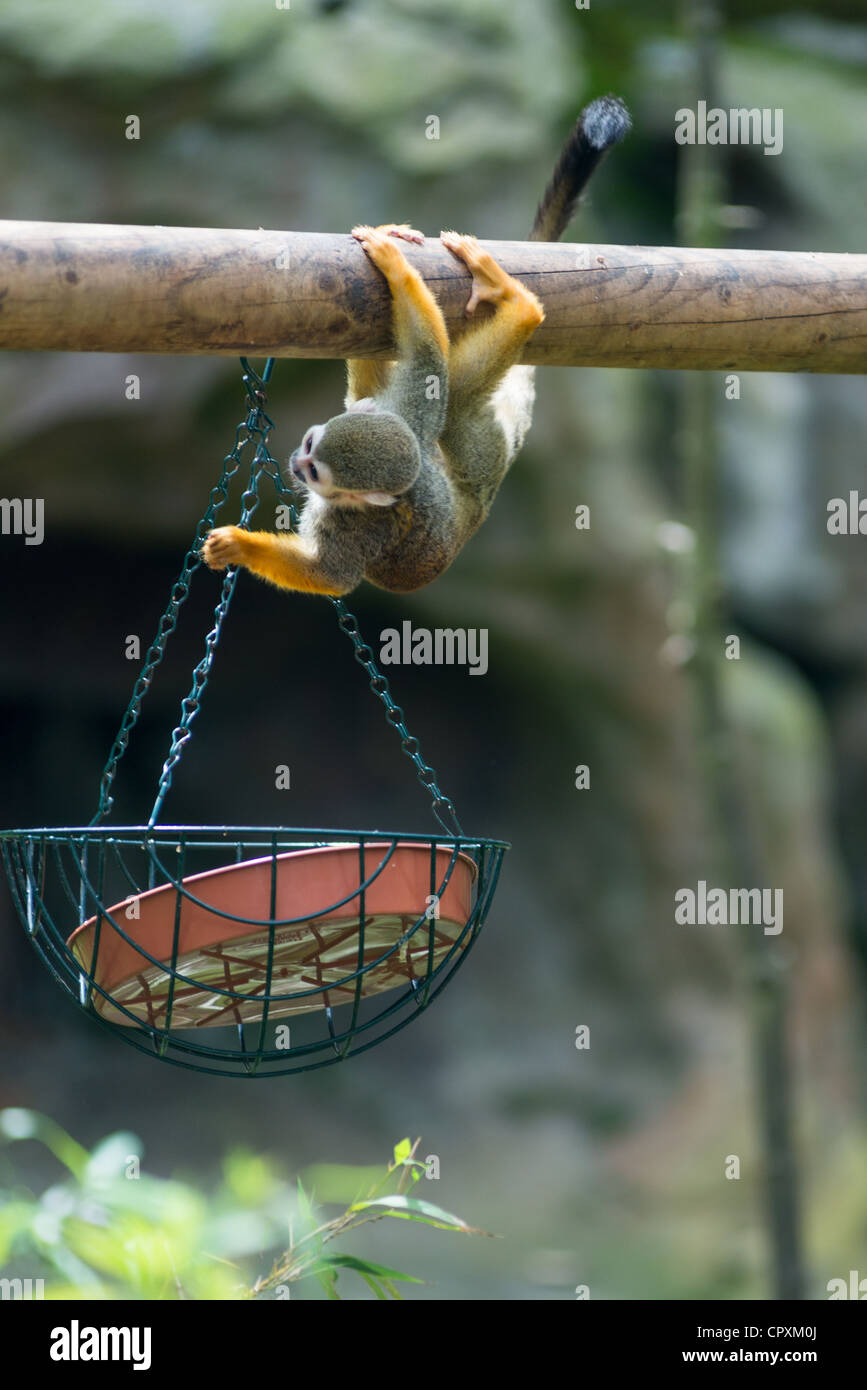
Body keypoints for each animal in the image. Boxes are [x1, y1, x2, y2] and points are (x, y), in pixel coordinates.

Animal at [203, 96, 630, 597]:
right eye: (309, 443)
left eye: (314, 472)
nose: (295, 461)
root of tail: (473, 516)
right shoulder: (408, 414)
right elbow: (423, 360)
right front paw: (394, 257)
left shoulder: (354, 522)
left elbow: (329, 575)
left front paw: (238, 546)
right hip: (475, 451)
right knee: (456, 392)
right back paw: (519, 305)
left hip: (479, 464)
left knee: (460, 402)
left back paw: (520, 304)